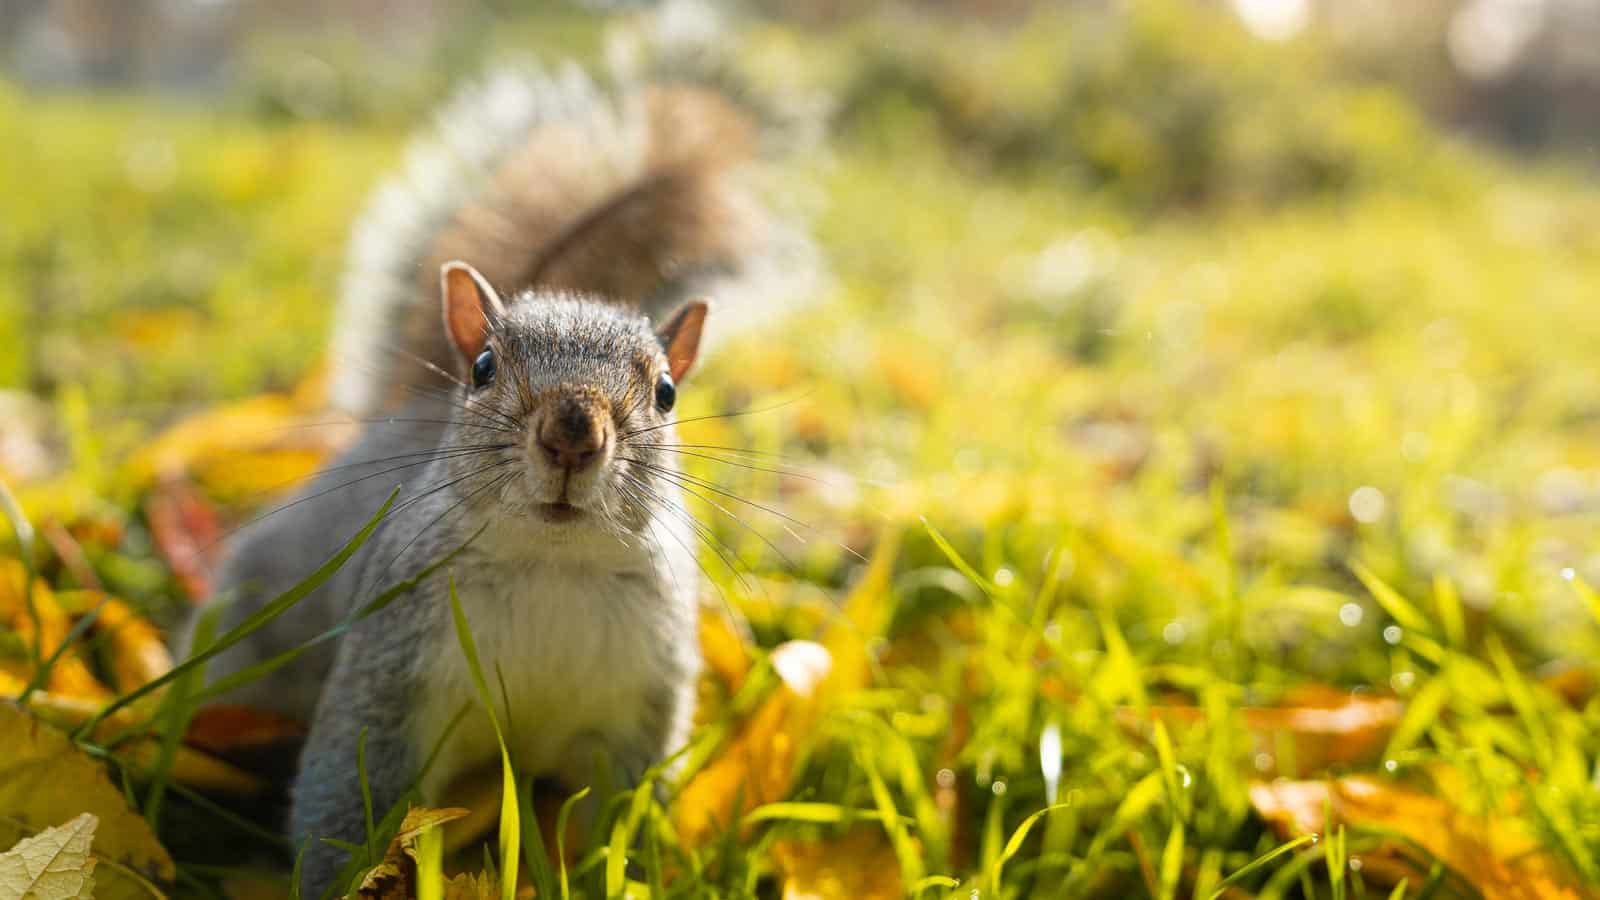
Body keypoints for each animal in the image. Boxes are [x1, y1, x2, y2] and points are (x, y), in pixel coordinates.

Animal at [181, 63, 812, 895]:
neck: (550, 564)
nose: (573, 434)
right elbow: (347, 798)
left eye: (669, 392)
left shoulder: (635, 716)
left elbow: (620, 825)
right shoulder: (388, 682)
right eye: (483, 368)